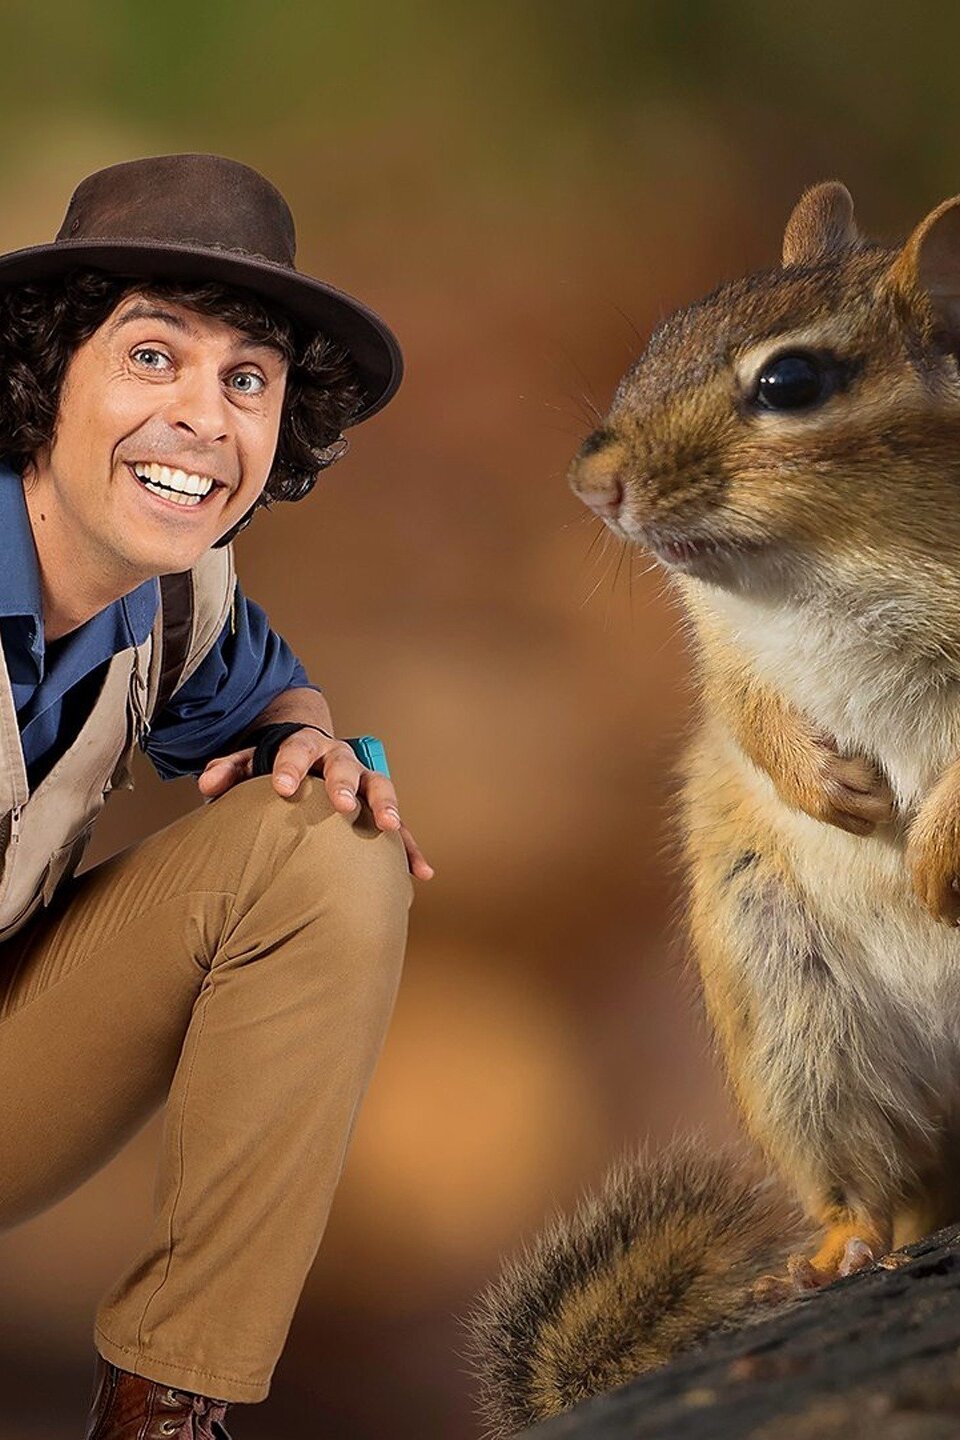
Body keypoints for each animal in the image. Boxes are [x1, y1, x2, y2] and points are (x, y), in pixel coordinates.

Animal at [467, 181, 960, 1437]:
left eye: (791, 383)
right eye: (667, 329)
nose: (591, 484)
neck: (829, 570)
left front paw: (931, 859)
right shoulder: (725, 651)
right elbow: (745, 718)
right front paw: (833, 789)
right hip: (791, 1022)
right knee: (867, 1184)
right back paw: (836, 1251)